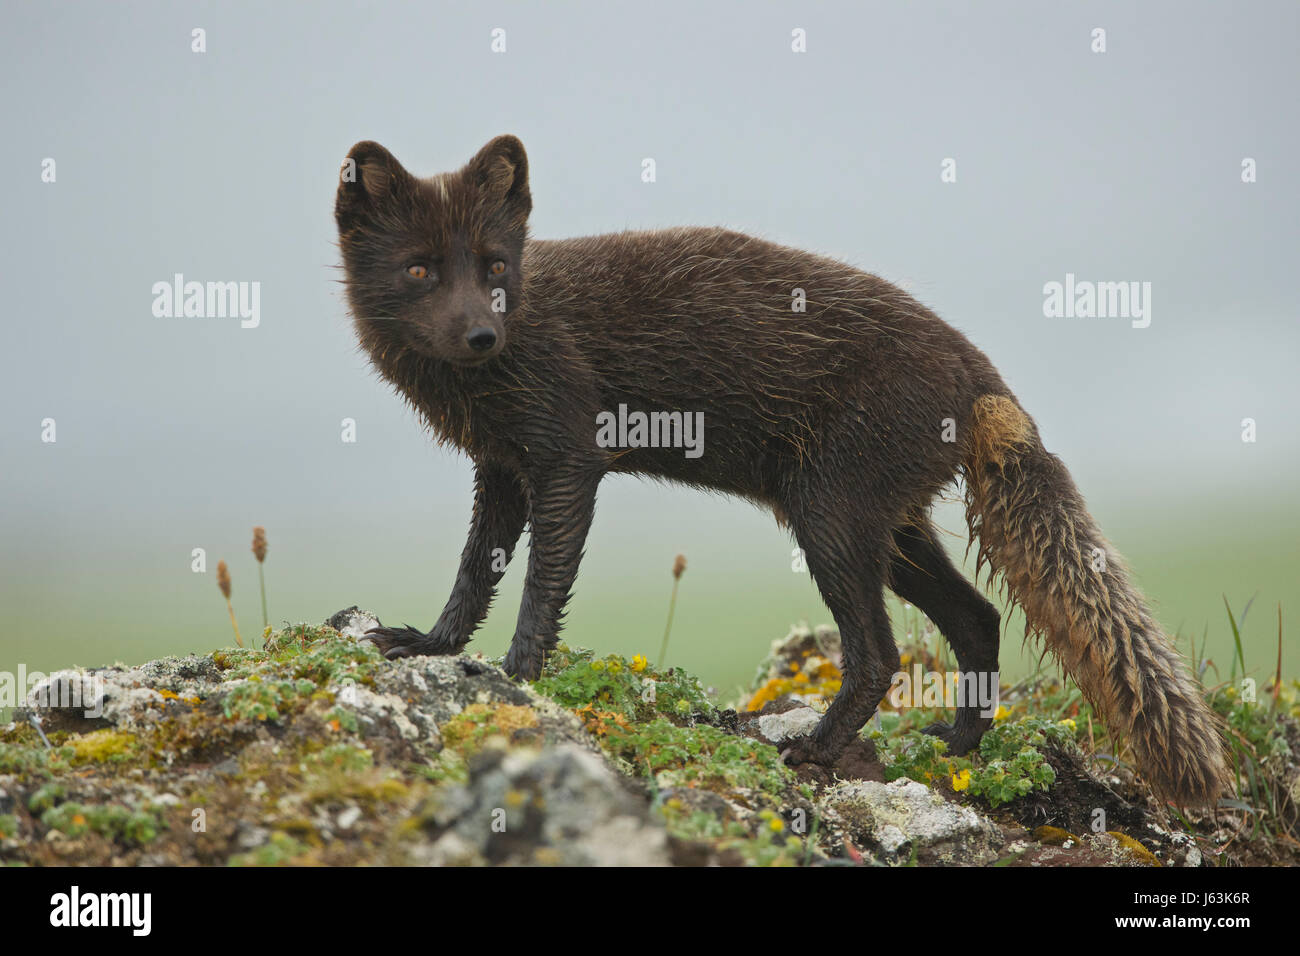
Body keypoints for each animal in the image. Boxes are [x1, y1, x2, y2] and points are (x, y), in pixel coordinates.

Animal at [334, 134, 1231, 806]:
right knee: (978, 618)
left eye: (494, 266)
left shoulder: (569, 455)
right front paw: (429, 644)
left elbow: (541, 584)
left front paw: (518, 679)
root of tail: (983, 380)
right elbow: (473, 570)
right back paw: (956, 745)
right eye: (419, 268)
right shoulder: (499, 465)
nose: (482, 335)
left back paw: (812, 750)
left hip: (828, 514)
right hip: (888, 524)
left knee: (879, 655)